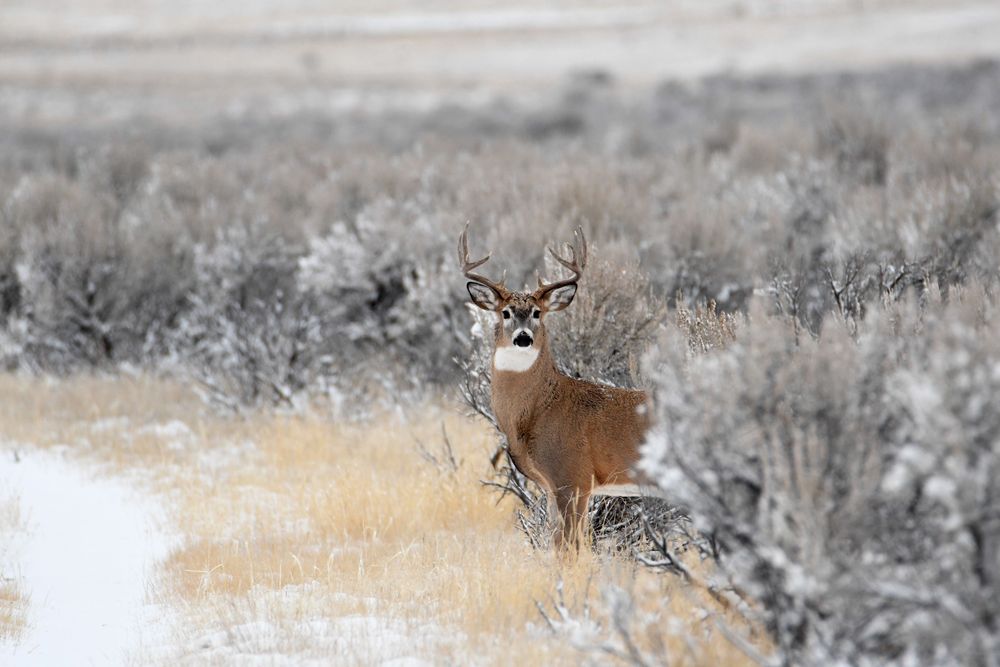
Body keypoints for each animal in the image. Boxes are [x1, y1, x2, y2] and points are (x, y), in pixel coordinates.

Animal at [459, 224, 653, 550]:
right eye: (506, 312)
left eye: (537, 313)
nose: (523, 338)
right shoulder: (551, 486)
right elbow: (555, 544)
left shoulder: (573, 476)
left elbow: (570, 547)